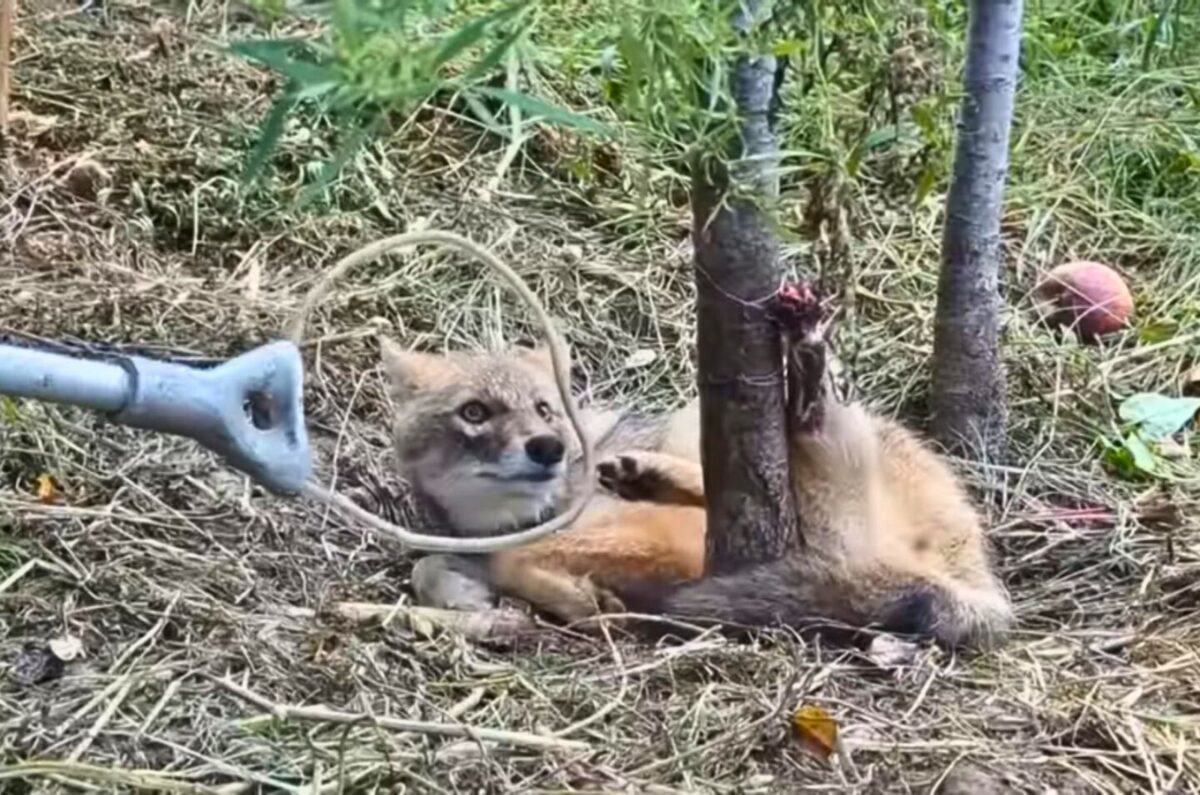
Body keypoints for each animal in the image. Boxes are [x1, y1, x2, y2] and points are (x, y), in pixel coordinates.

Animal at [380, 319, 1012, 649]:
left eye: (544, 409)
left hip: (717, 437)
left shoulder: (672, 542)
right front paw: (467, 596)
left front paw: (576, 598)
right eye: (475, 413)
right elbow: (431, 565)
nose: (547, 449)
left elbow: (516, 559)